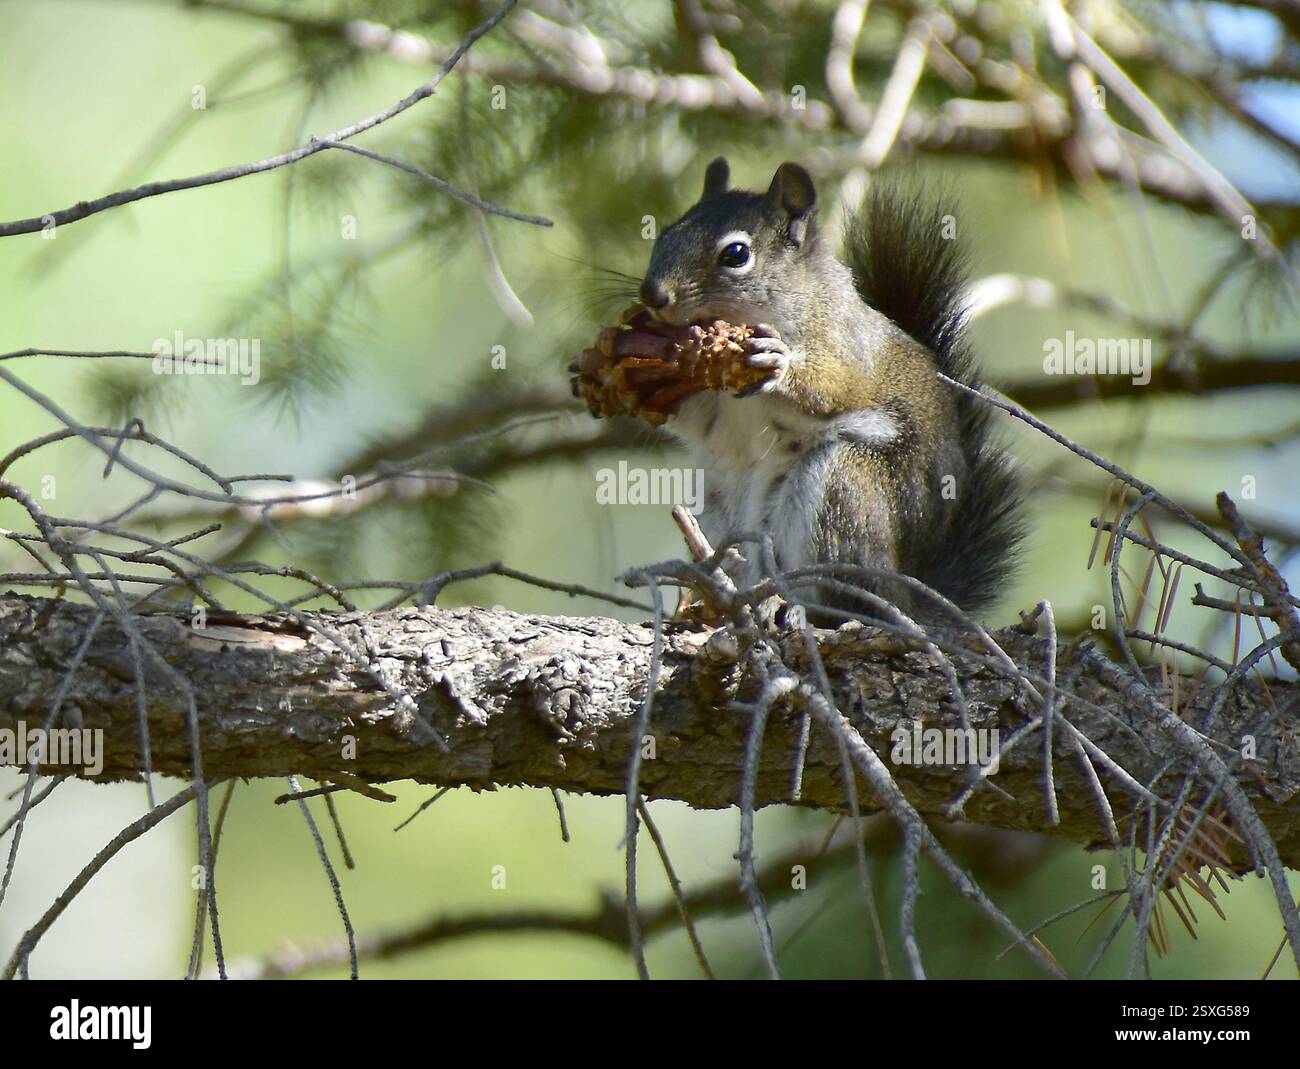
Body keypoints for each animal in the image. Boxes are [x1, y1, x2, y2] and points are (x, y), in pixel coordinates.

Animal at [635, 157, 1023, 620]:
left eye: (736, 254)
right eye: (666, 233)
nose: (652, 295)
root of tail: (905, 595)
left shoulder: (847, 346)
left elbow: (836, 387)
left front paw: (780, 364)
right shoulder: (714, 408)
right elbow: (697, 418)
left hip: (843, 491)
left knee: (840, 596)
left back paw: (795, 607)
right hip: (719, 515)